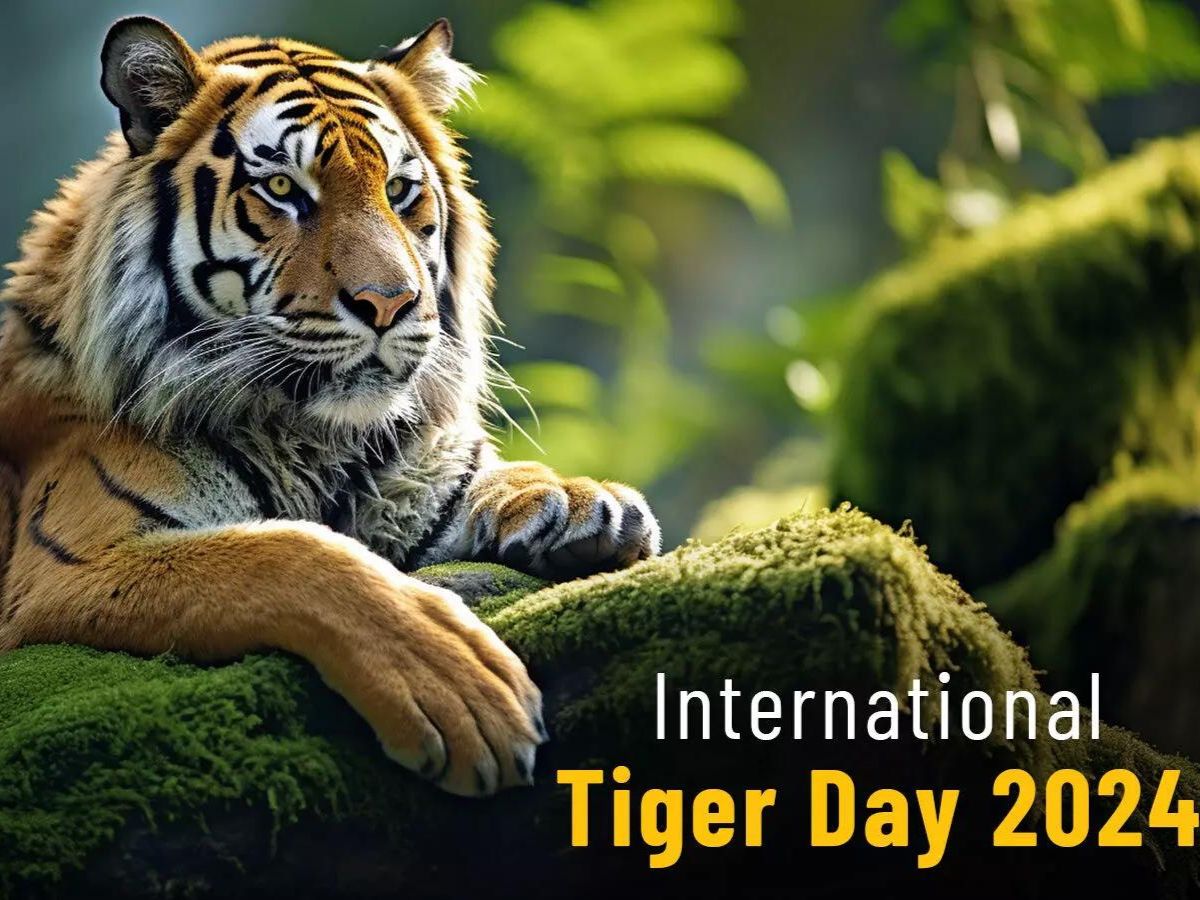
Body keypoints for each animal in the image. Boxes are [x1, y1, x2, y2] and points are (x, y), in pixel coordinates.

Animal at [0, 16, 661, 797]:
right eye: (284, 189)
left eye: (400, 190)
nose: (391, 303)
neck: (316, 436)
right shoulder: (67, 567)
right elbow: (287, 554)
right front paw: (459, 688)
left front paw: (581, 500)